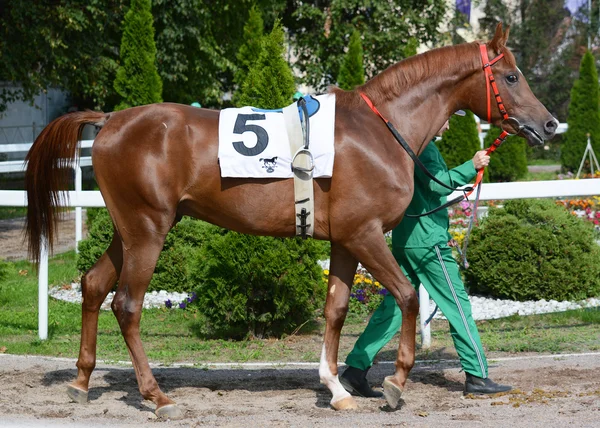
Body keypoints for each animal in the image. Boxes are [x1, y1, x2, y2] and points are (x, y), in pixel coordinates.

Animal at [23, 25, 556, 420]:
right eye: (511, 76)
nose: (549, 124)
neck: (381, 130)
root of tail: (110, 120)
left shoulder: (344, 240)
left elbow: (336, 309)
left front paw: (337, 388)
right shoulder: (365, 234)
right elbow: (406, 295)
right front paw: (395, 382)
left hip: (129, 231)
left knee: (94, 286)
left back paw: (81, 381)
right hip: (148, 230)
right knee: (127, 305)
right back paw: (157, 396)